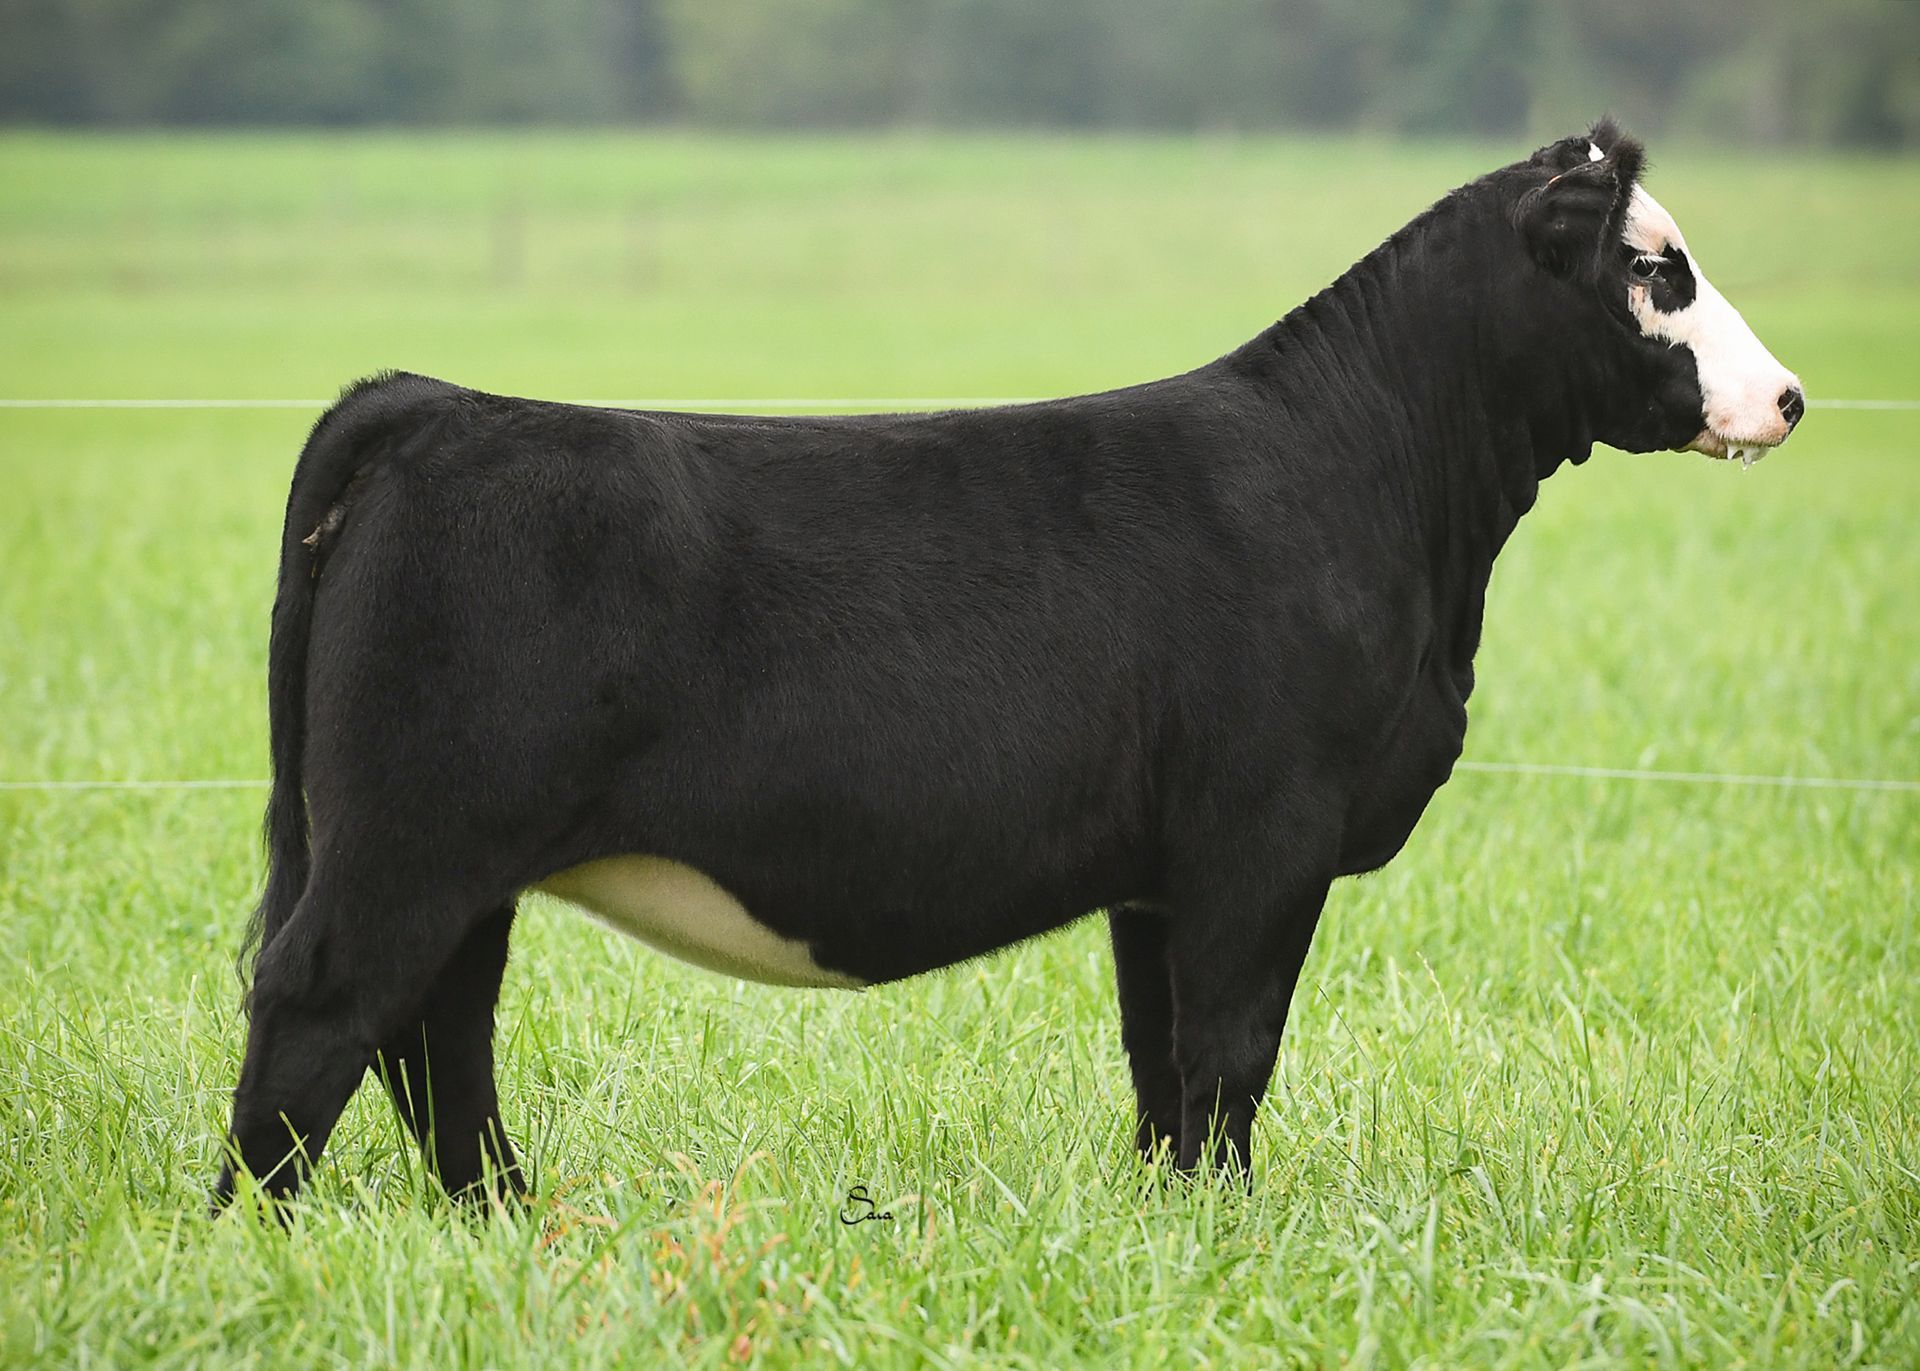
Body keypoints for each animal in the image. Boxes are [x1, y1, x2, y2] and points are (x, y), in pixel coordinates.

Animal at [212, 120, 1802, 1209]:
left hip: (458, 862)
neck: (1380, 482)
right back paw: (261, 1244)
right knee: (322, 1011)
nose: (1786, 396)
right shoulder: (1263, 832)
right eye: (1656, 268)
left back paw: (509, 1222)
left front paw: (1182, 1229)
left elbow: (1167, 1065)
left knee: (438, 1038)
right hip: (409, 839)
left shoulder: (1160, 872)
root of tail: (434, 400)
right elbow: (1233, 1049)